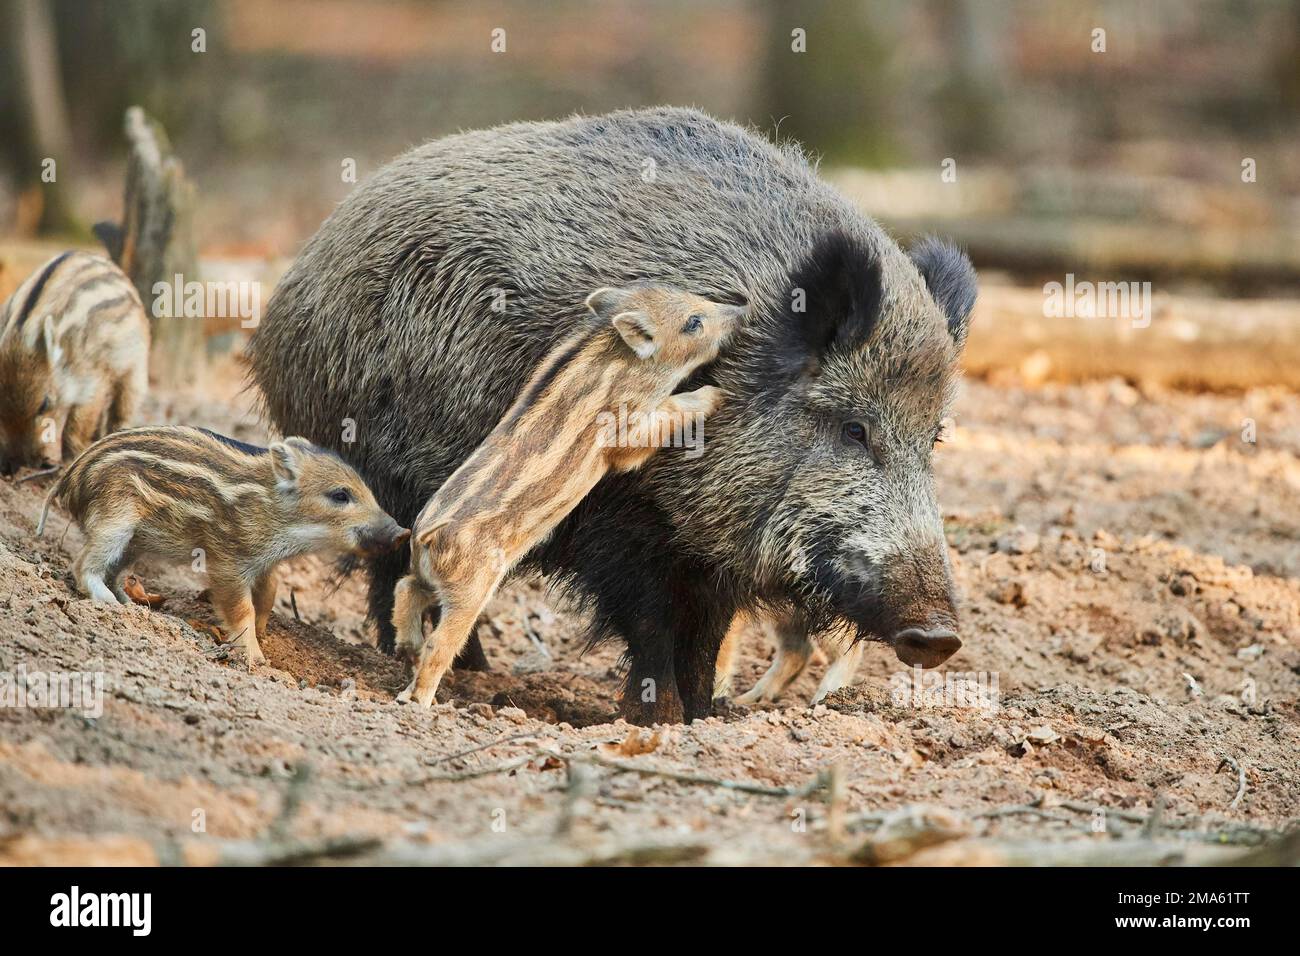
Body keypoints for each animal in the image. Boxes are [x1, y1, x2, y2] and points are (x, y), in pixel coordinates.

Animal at [0, 251, 149, 474]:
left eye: (45, 404)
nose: (31, 465)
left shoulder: (92, 377)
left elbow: (78, 424)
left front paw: (71, 458)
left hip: (135, 366)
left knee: (123, 408)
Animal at [36, 425, 409, 665]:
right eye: (340, 495)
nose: (402, 532)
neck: (277, 515)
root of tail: (69, 479)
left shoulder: (263, 562)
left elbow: (269, 594)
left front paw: (263, 634)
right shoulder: (227, 560)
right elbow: (241, 608)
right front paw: (256, 659)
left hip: (136, 541)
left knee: (115, 572)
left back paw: (133, 606)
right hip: (114, 521)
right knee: (83, 564)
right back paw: (109, 603)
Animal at [394, 284, 742, 707]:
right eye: (693, 322)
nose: (742, 311)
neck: (613, 349)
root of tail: (426, 536)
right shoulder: (627, 430)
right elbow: (666, 415)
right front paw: (716, 394)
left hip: (428, 576)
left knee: (405, 588)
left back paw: (405, 648)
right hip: (470, 589)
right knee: (439, 644)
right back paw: (417, 701)